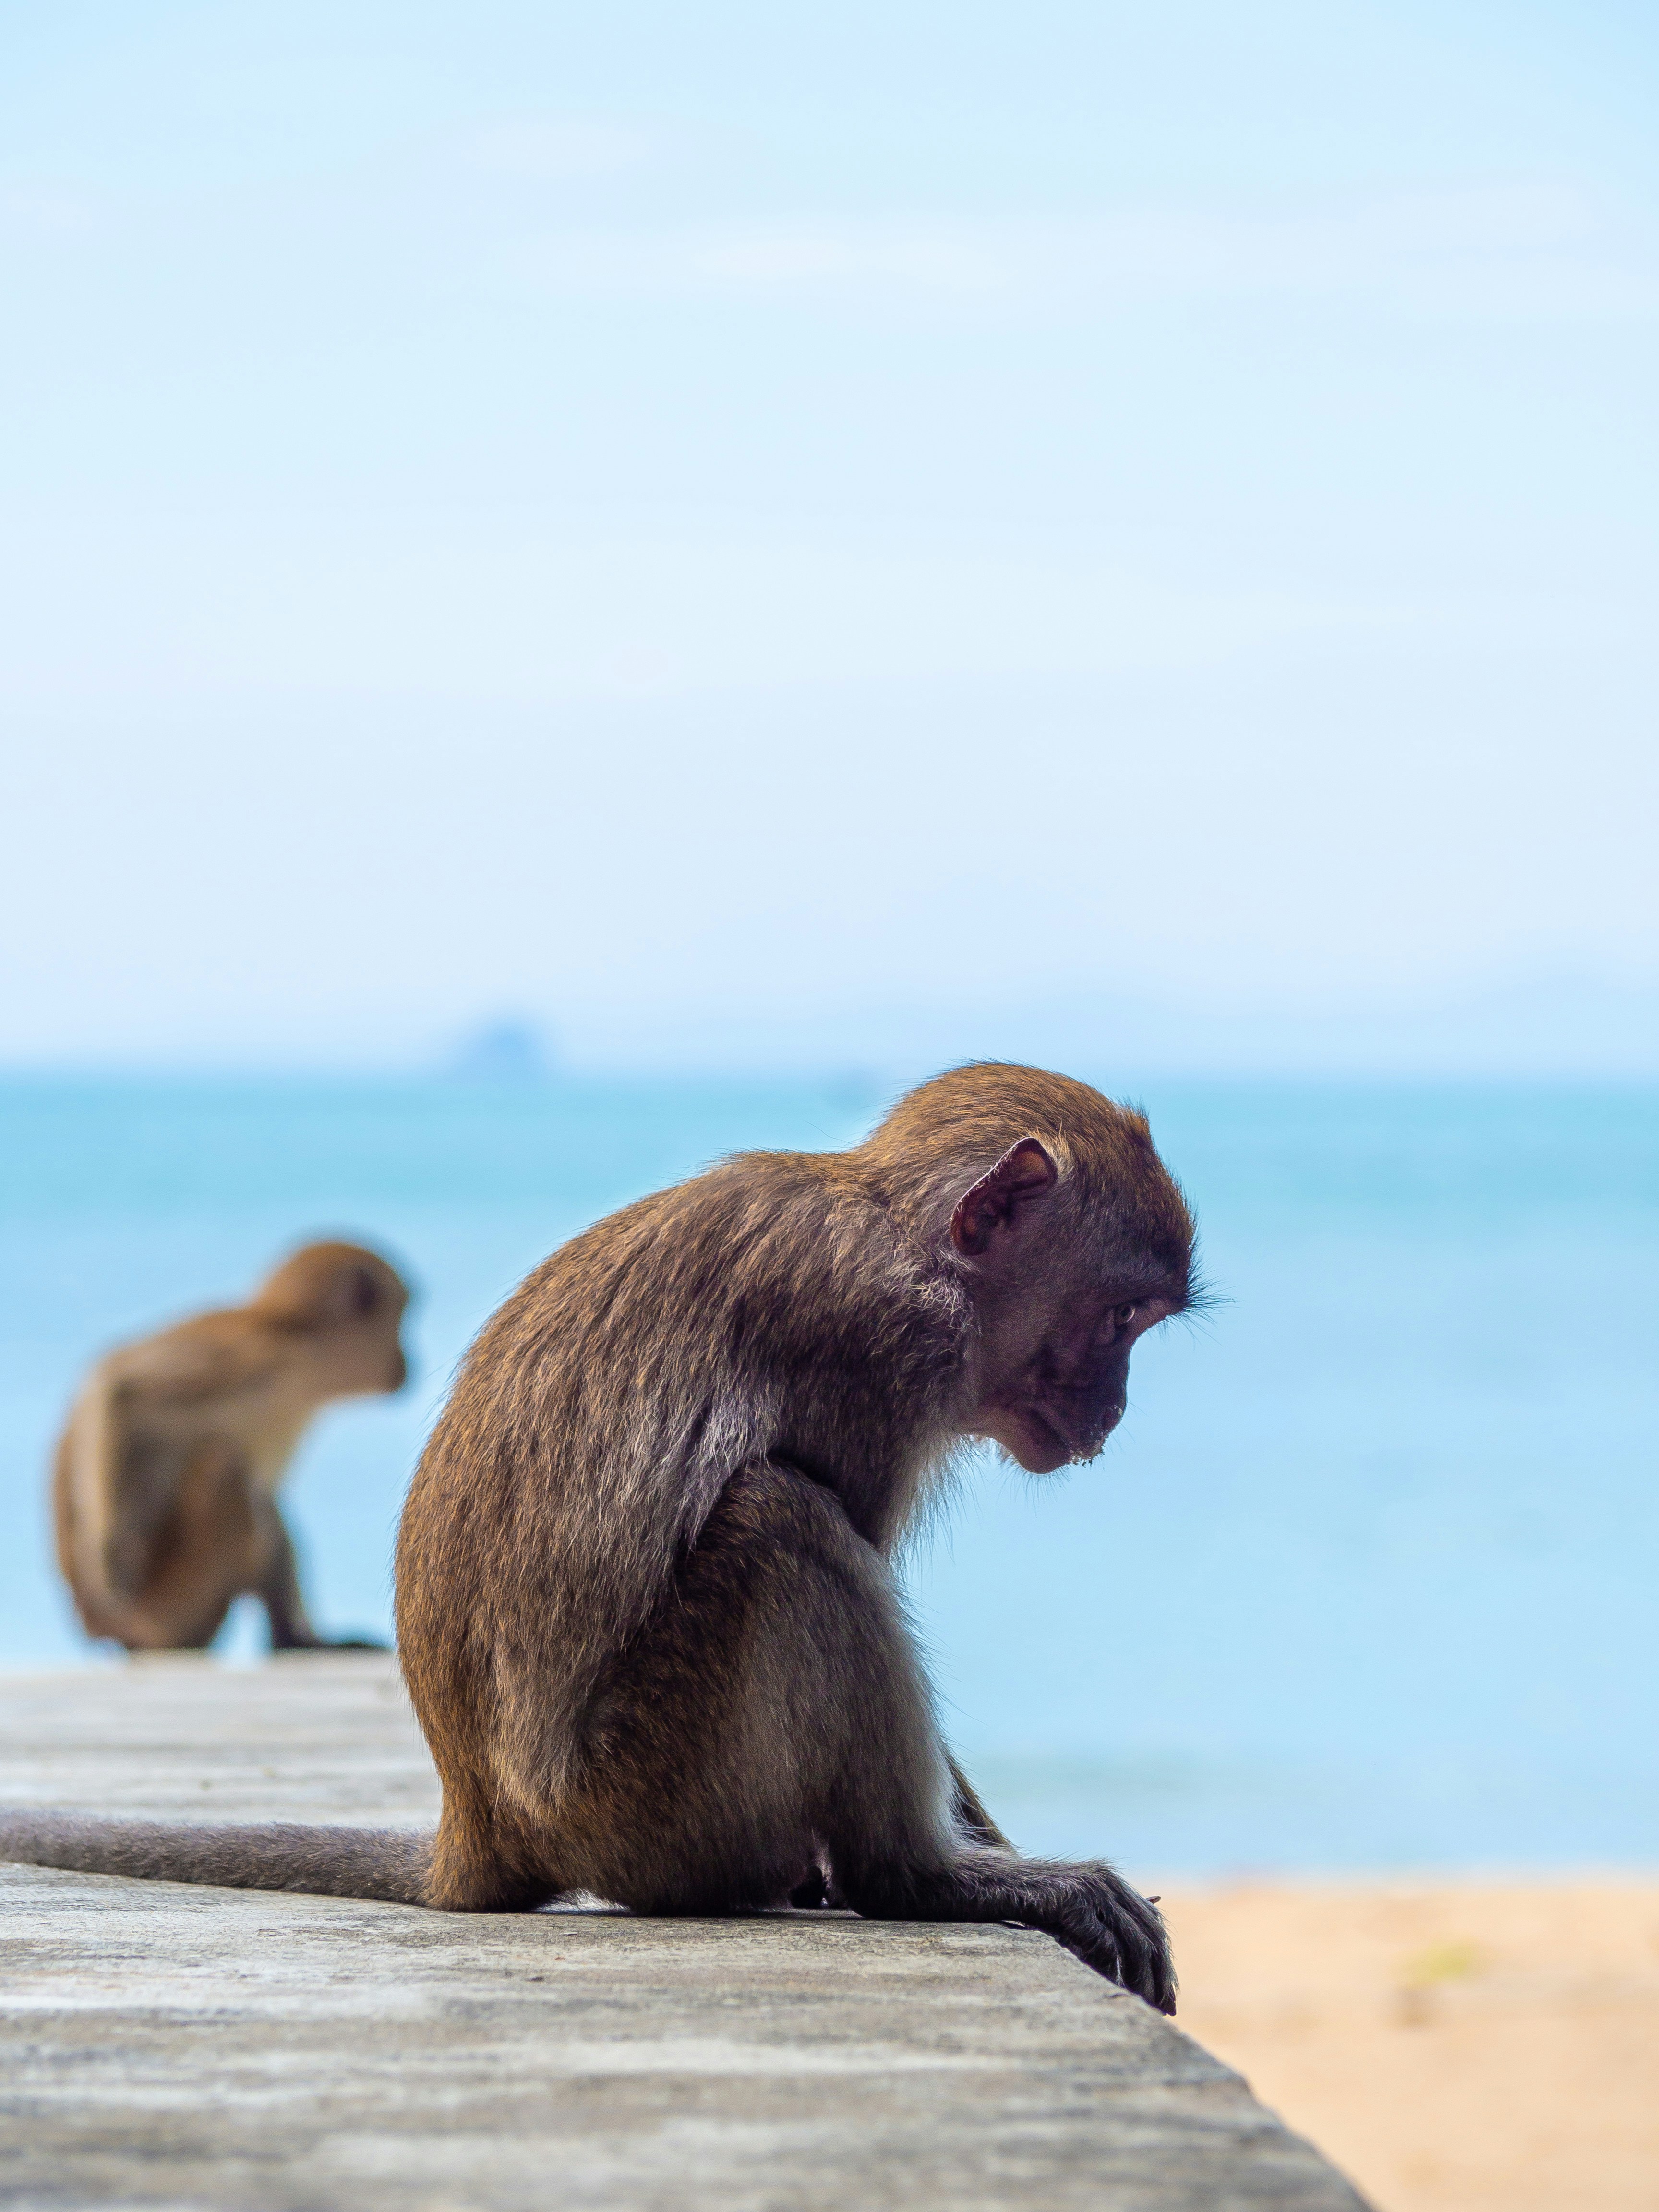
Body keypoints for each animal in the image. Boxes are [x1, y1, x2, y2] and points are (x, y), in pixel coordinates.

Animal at [50, 1241, 411, 1653]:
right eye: (402, 1320)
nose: (408, 1359)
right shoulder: (250, 1355)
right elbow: (120, 1389)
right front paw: (110, 1556)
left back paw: (291, 1639)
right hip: (164, 1604)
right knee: (223, 1467)